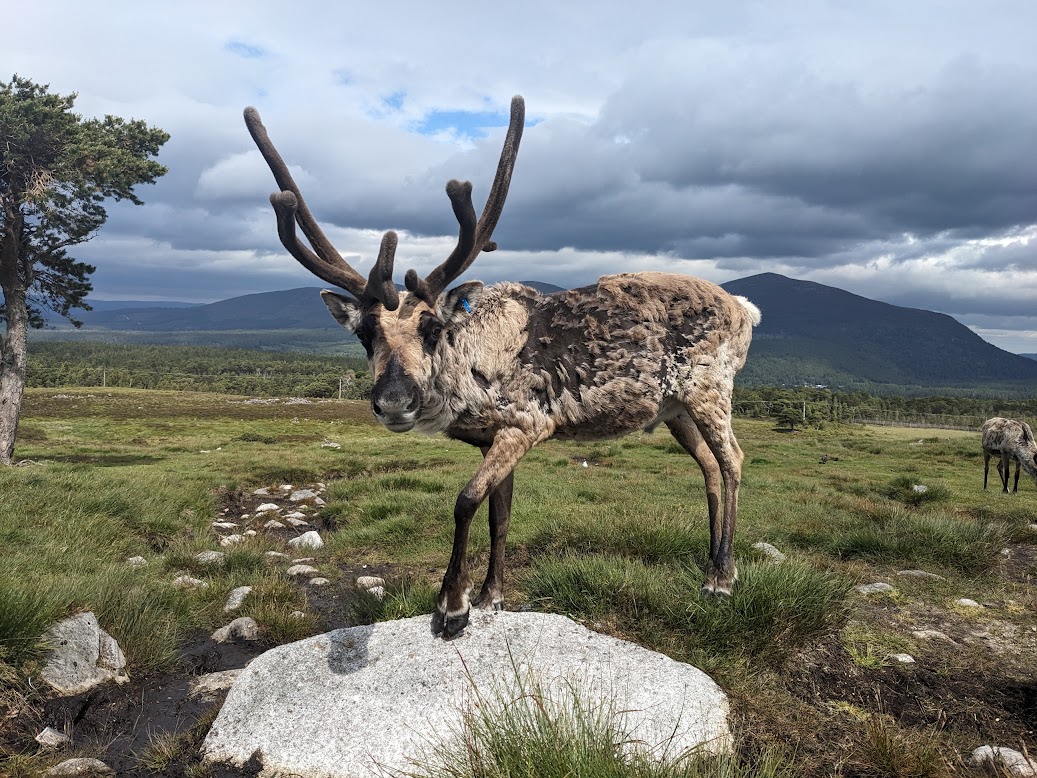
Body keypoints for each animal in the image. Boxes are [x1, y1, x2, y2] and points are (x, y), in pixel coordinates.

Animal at [244, 96, 761, 638]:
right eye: (364, 334)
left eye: (432, 327)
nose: (393, 401)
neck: (468, 366)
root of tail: (744, 309)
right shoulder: (495, 438)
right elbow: (500, 513)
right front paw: (491, 595)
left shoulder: (525, 425)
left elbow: (466, 500)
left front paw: (453, 605)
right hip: (675, 409)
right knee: (707, 466)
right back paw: (712, 563)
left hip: (710, 391)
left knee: (732, 460)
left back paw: (722, 578)